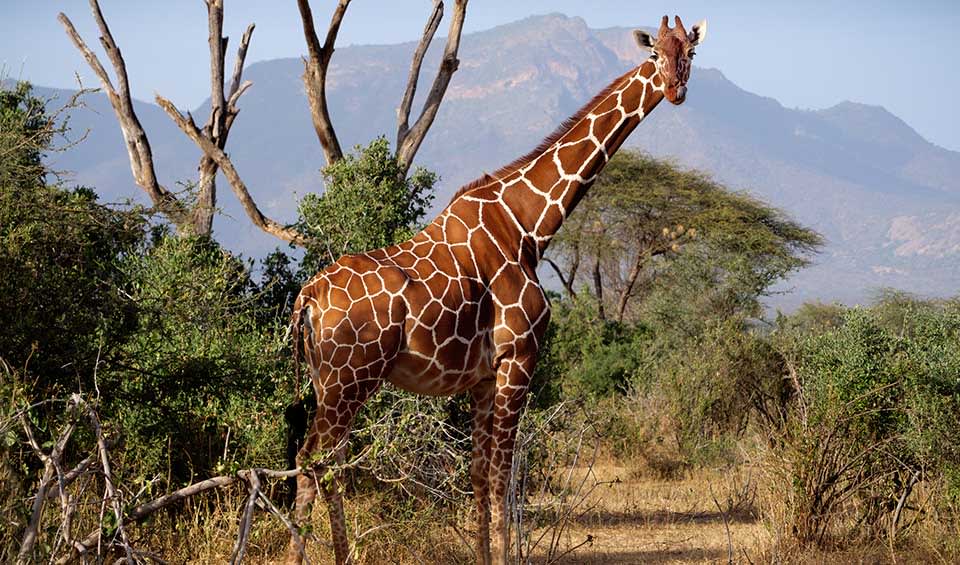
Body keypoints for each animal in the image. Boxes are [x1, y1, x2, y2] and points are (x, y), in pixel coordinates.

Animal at [287, 15, 707, 565]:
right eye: (655, 53)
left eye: (690, 53)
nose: (677, 90)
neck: (529, 224)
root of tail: (308, 297)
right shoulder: (518, 358)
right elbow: (505, 476)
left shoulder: (483, 377)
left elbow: (479, 475)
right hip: (349, 378)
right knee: (311, 460)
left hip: (329, 381)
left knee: (326, 463)